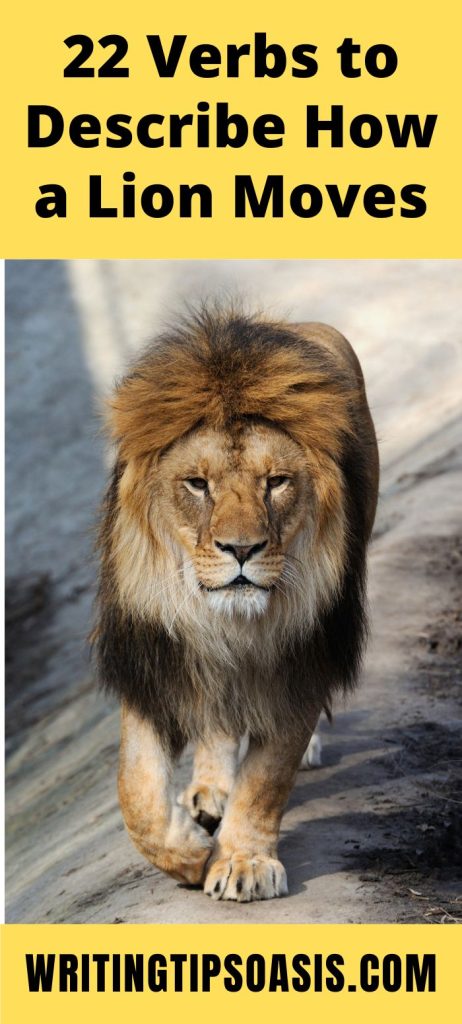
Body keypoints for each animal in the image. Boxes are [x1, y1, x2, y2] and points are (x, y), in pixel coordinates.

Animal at [94, 307, 379, 902]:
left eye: (277, 482)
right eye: (197, 484)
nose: (242, 549)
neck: (232, 624)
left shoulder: (304, 661)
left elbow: (268, 776)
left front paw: (244, 861)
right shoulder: (157, 658)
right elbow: (136, 790)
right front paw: (187, 852)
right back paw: (207, 793)